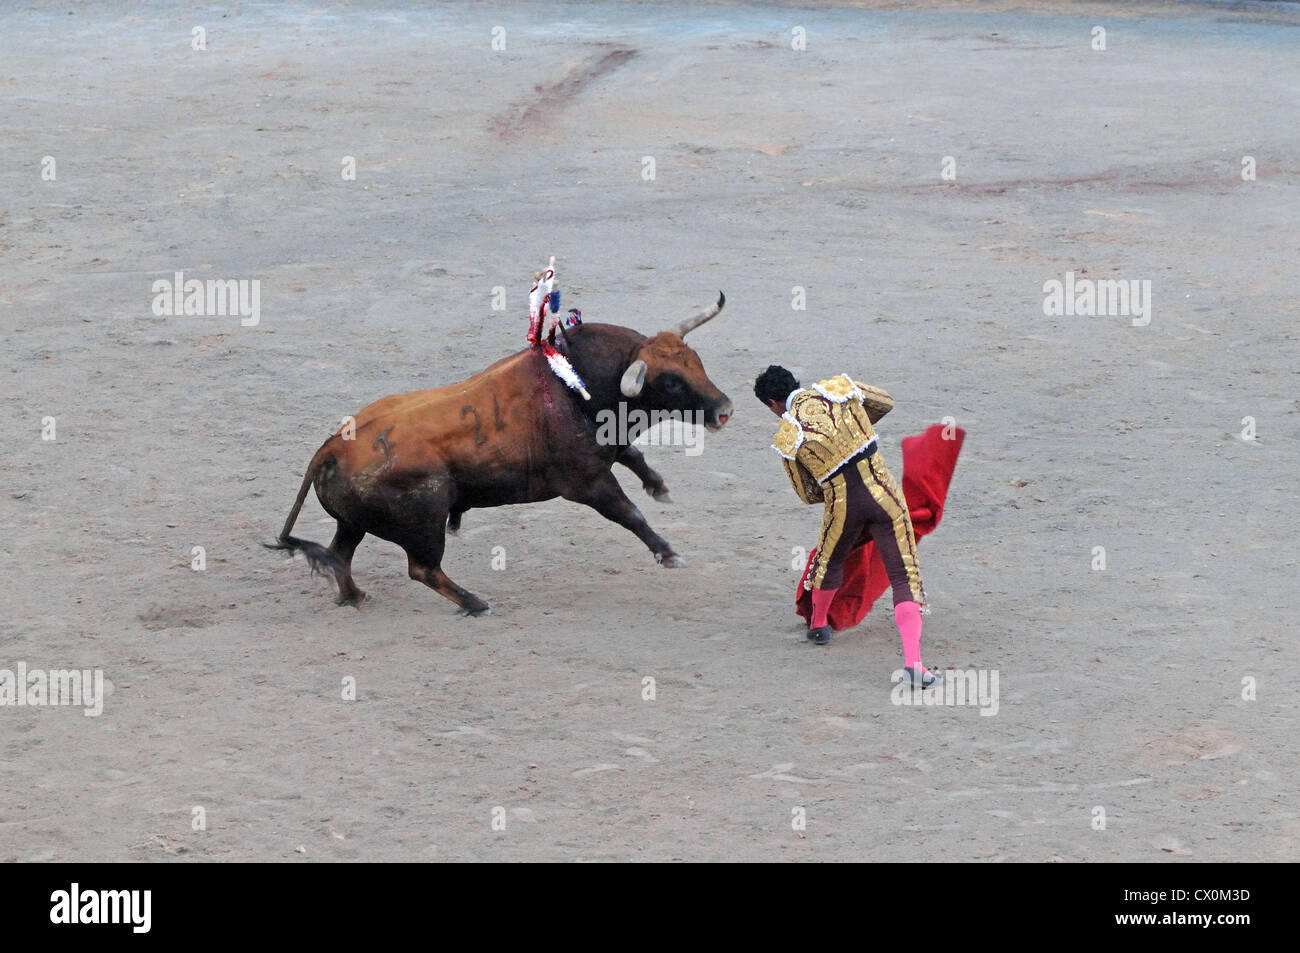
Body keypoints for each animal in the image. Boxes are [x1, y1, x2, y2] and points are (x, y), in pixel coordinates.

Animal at [267, 294, 732, 615]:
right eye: (670, 382)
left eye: (695, 360)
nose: (725, 409)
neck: (574, 387)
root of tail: (331, 446)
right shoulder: (588, 483)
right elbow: (630, 514)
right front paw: (668, 554)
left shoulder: (608, 450)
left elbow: (633, 456)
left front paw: (660, 487)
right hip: (426, 524)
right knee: (422, 568)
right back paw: (475, 602)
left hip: (353, 522)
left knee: (339, 554)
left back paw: (355, 597)